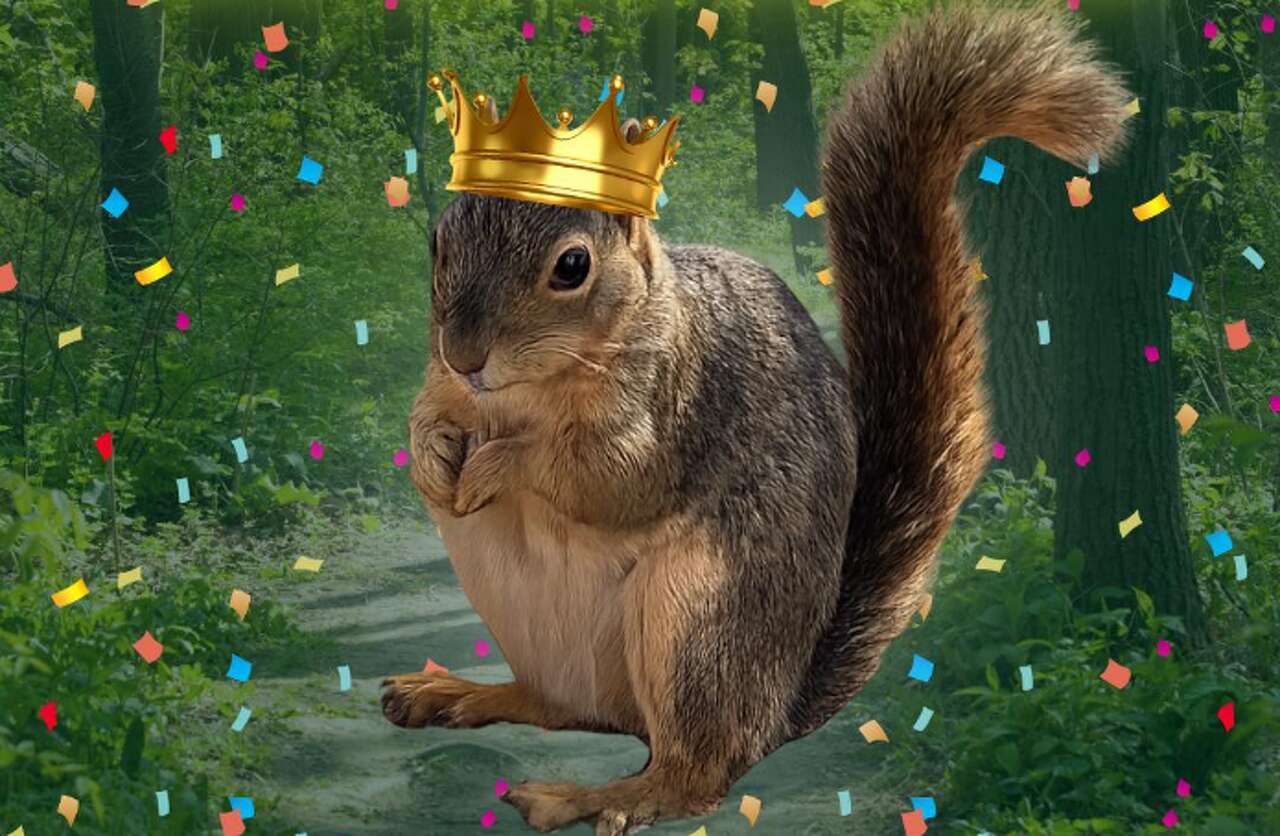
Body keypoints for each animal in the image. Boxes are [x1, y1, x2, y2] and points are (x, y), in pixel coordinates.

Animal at [381, 6, 1130, 834]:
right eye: (438, 241)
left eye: (572, 267)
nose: (462, 352)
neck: (522, 393)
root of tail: (783, 701)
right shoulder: (446, 388)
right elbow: (426, 413)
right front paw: (432, 460)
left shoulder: (672, 410)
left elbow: (602, 478)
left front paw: (496, 463)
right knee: (565, 706)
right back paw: (453, 691)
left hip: (699, 623)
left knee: (695, 772)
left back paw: (591, 796)